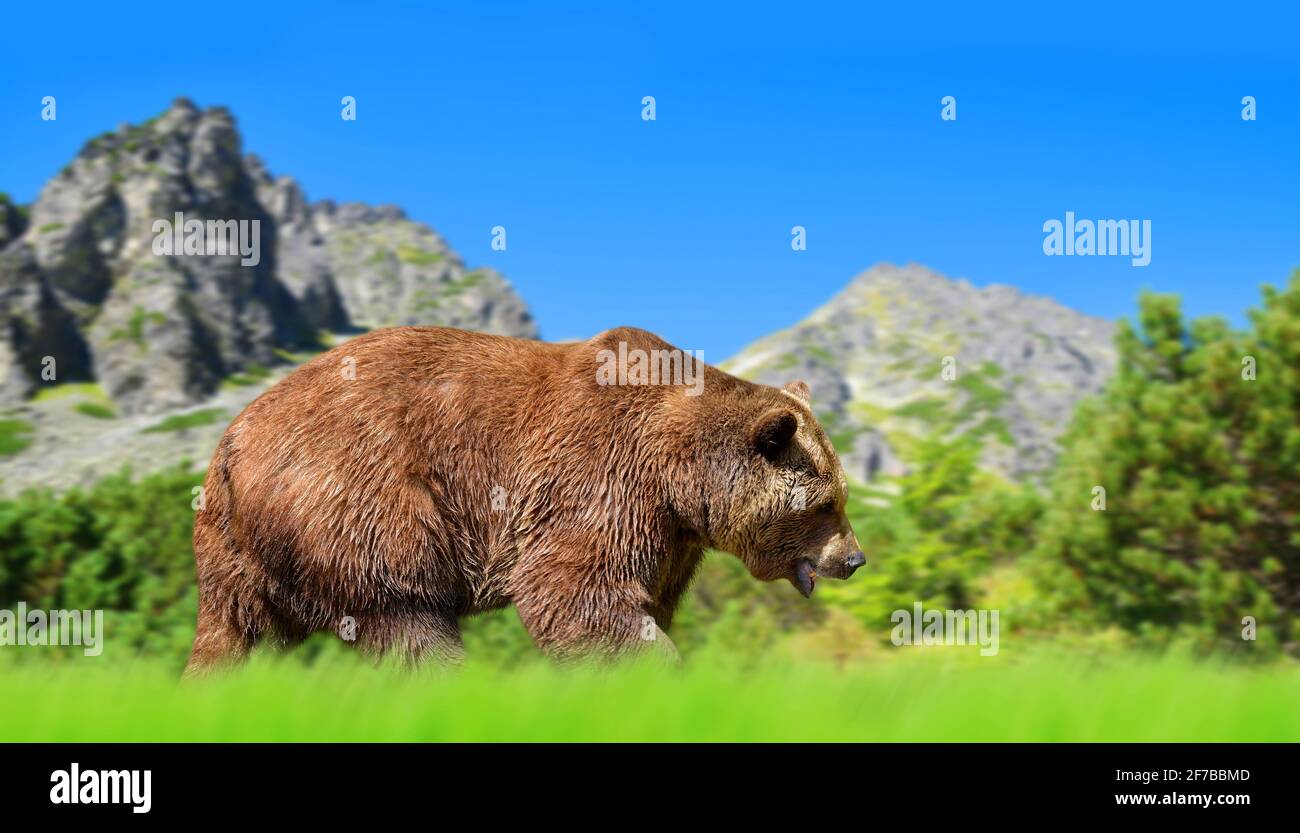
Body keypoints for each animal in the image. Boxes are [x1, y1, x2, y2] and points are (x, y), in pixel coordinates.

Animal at [185, 326, 864, 674]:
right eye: (827, 503)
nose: (854, 559)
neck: (681, 475)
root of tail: (232, 444)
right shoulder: (599, 476)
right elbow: (574, 590)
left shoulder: (671, 535)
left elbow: (641, 598)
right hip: (357, 492)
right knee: (403, 610)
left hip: (235, 550)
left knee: (239, 634)